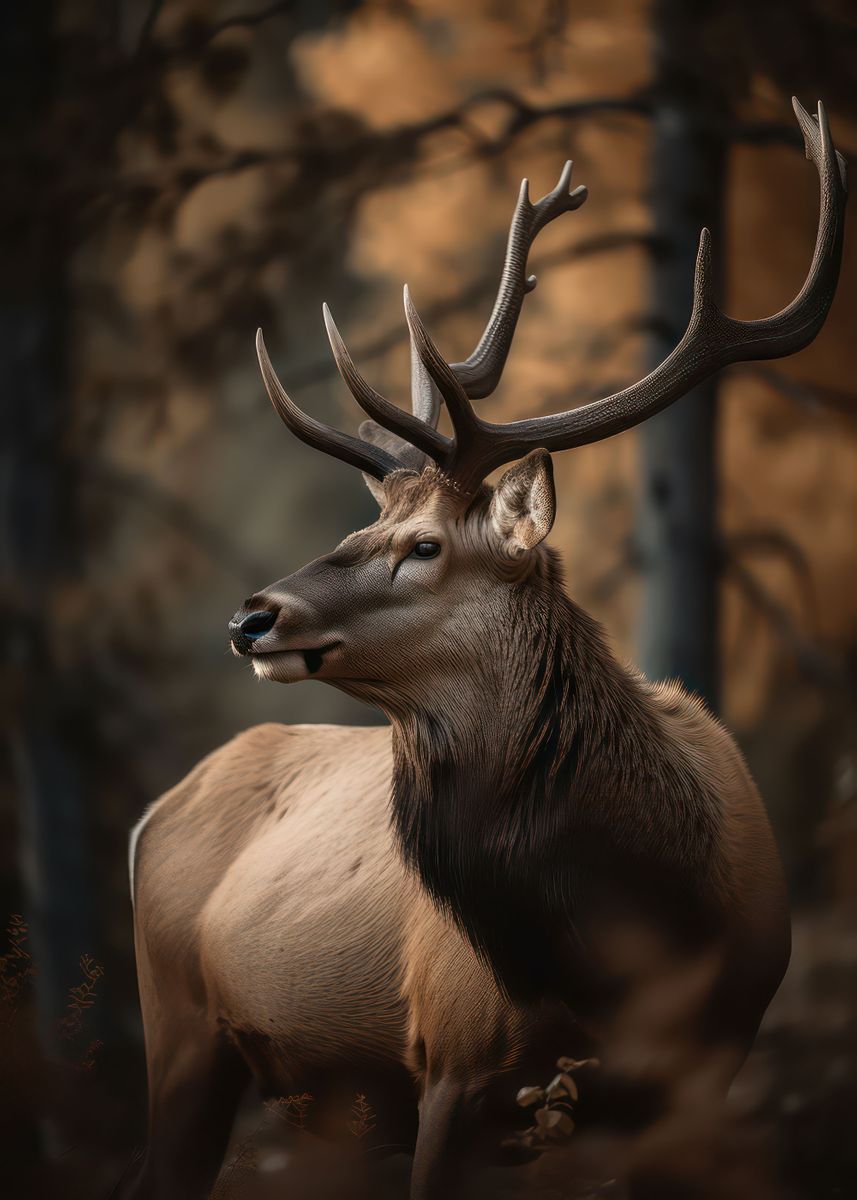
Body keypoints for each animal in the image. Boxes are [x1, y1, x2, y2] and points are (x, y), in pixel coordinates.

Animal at [124, 100, 845, 1200]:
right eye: (362, 526)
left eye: (422, 545)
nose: (251, 618)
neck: (631, 938)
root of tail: (152, 811)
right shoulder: (453, 1065)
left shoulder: (705, 1072)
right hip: (180, 1032)